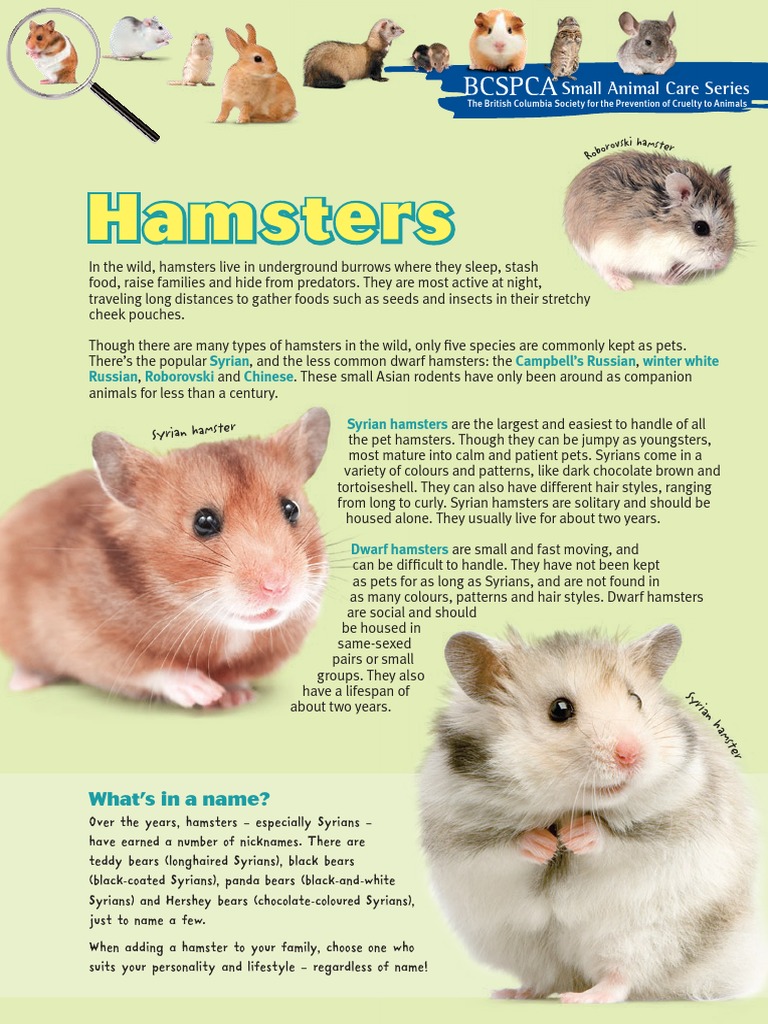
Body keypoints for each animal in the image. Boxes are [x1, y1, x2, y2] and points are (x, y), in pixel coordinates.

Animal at [0, 409, 330, 709]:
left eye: (291, 509)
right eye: (204, 521)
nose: (277, 587)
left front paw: (236, 697)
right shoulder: (89, 641)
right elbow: (150, 668)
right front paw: (203, 692)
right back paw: (24, 684)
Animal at [419, 625, 766, 1002]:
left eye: (636, 699)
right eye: (559, 709)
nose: (631, 754)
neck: (564, 806)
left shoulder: (669, 823)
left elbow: (614, 841)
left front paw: (575, 834)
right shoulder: (461, 838)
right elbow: (504, 848)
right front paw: (544, 843)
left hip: (645, 936)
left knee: (621, 977)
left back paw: (583, 998)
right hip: (520, 945)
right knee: (546, 979)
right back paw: (512, 993)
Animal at [564, 151, 736, 290]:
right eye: (701, 228)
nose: (722, 263)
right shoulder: (651, 256)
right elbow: (655, 273)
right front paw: (673, 280)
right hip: (597, 249)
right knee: (604, 268)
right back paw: (624, 284)